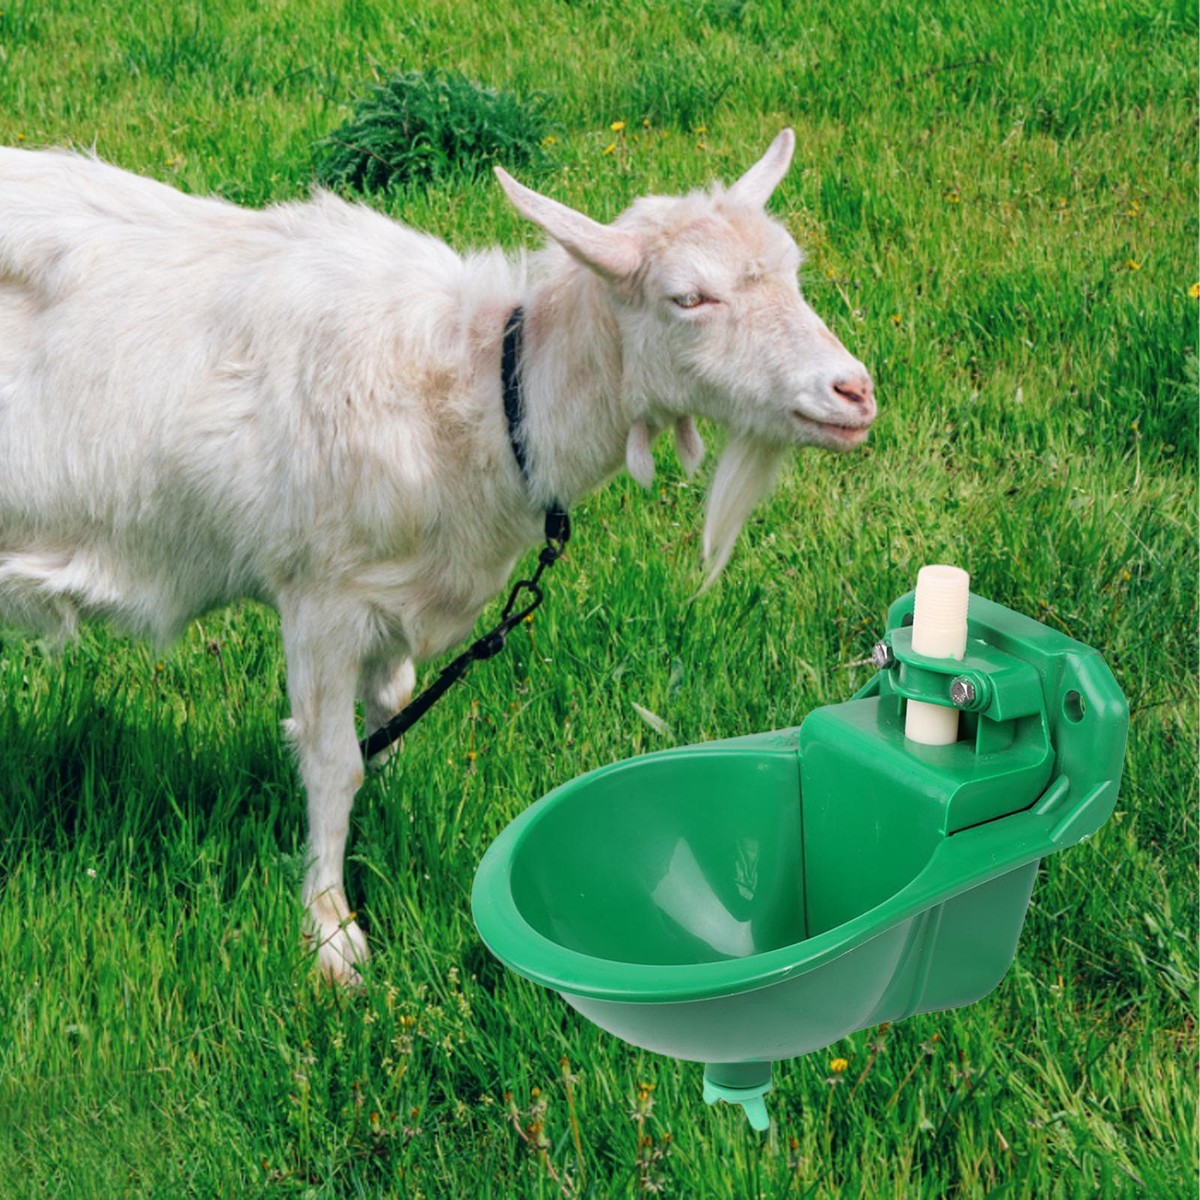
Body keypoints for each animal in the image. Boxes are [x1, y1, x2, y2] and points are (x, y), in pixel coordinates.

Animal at [0, 129, 875, 982]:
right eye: (688, 298)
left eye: (792, 270)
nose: (854, 393)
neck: (484, 389)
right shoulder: (319, 594)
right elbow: (332, 763)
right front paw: (332, 935)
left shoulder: (391, 594)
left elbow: (390, 715)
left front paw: (382, 831)